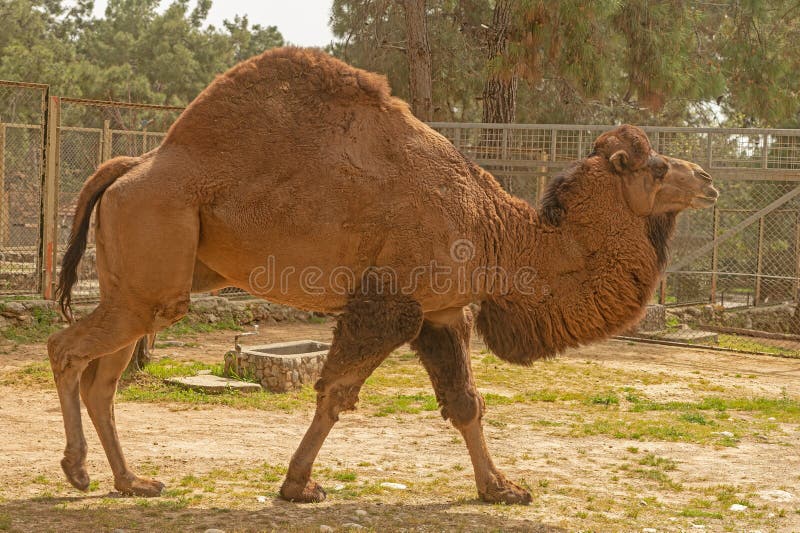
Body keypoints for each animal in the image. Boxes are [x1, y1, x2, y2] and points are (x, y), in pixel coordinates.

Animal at [49, 47, 718, 505]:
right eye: (658, 168)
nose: (709, 180)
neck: (498, 231)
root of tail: (130, 165)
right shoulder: (391, 303)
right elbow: (337, 392)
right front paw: (298, 486)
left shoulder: (442, 310)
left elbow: (465, 402)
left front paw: (501, 488)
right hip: (150, 269)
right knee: (66, 349)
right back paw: (79, 471)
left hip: (147, 287)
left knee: (105, 378)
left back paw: (131, 481)